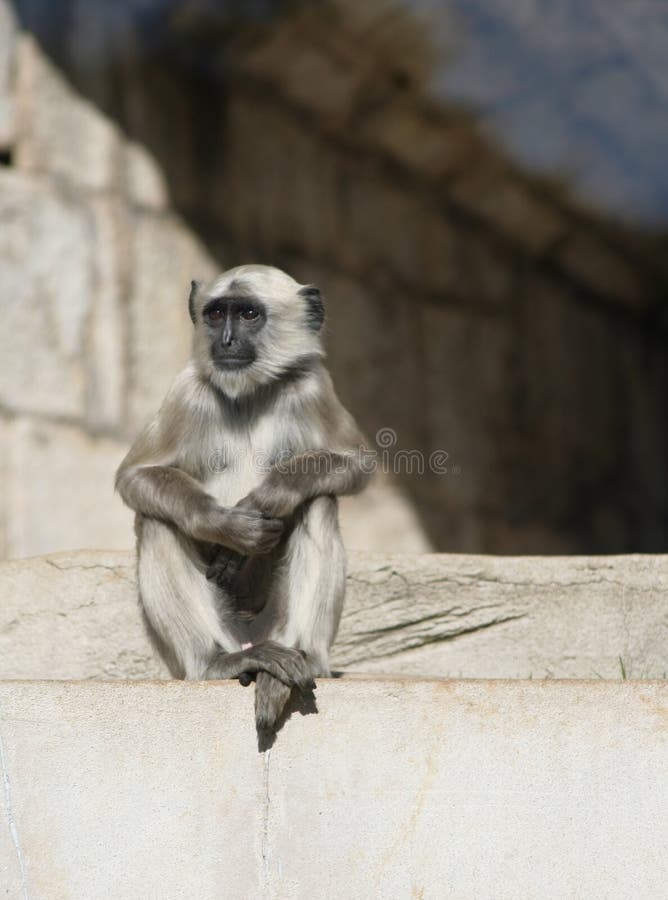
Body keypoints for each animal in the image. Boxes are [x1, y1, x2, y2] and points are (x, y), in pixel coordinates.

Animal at [115, 264, 370, 741]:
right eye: (216, 314)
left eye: (249, 314)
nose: (227, 341)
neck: (248, 393)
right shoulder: (188, 388)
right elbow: (134, 477)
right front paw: (231, 528)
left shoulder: (310, 384)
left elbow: (356, 462)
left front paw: (270, 498)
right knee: (155, 519)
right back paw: (219, 661)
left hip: (278, 626)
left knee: (320, 501)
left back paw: (305, 657)